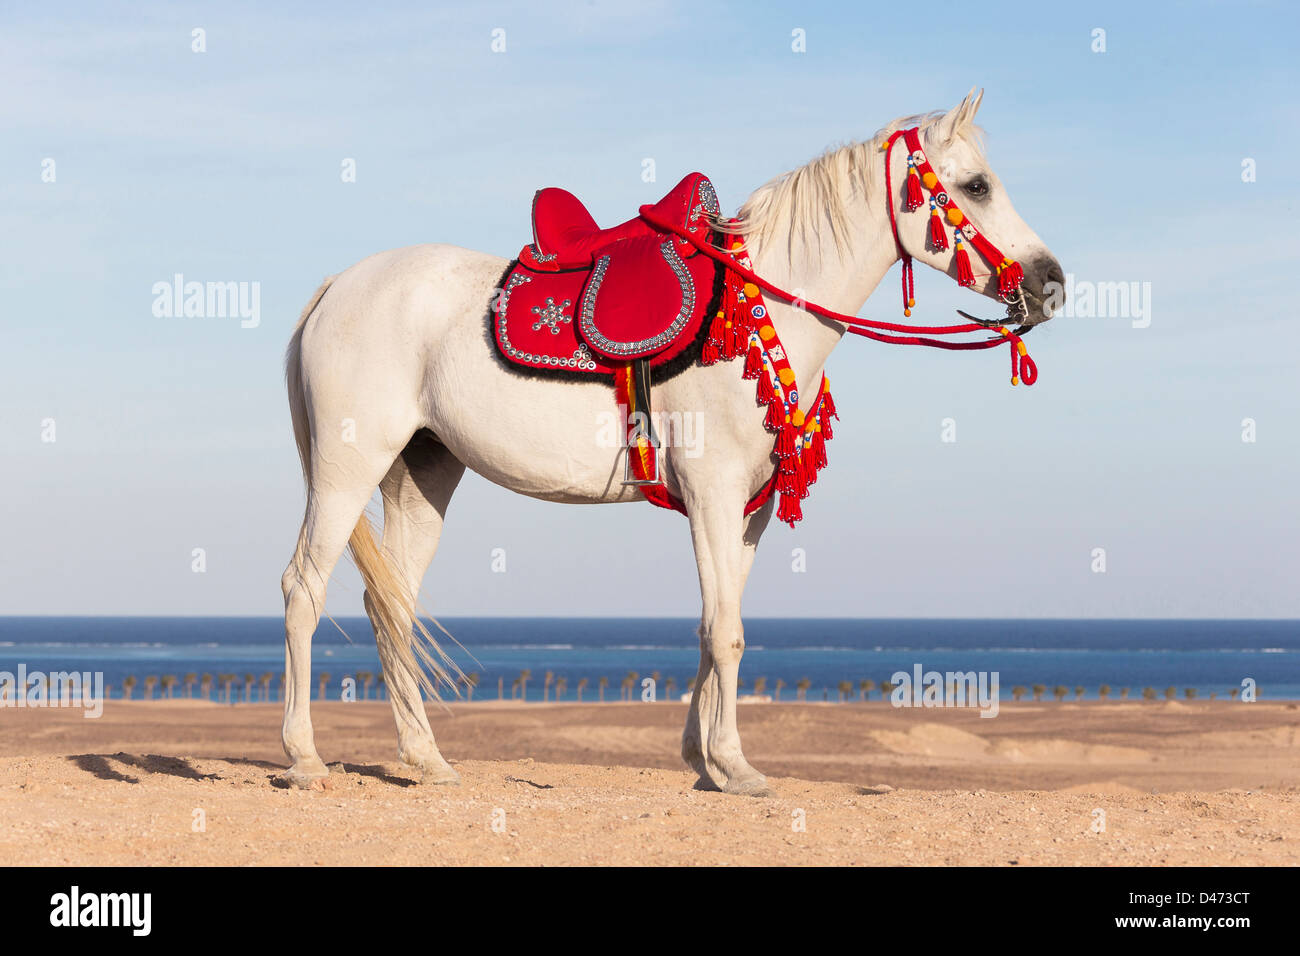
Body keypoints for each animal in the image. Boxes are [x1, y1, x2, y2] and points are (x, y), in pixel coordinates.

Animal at [278, 90, 1063, 795]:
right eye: (977, 185)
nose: (1052, 284)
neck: (761, 308)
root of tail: (335, 287)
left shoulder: (749, 511)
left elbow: (716, 624)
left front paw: (706, 759)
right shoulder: (713, 496)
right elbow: (726, 632)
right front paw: (735, 767)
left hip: (420, 473)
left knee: (393, 607)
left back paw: (426, 760)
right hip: (348, 468)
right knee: (304, 588)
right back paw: (305, 758)